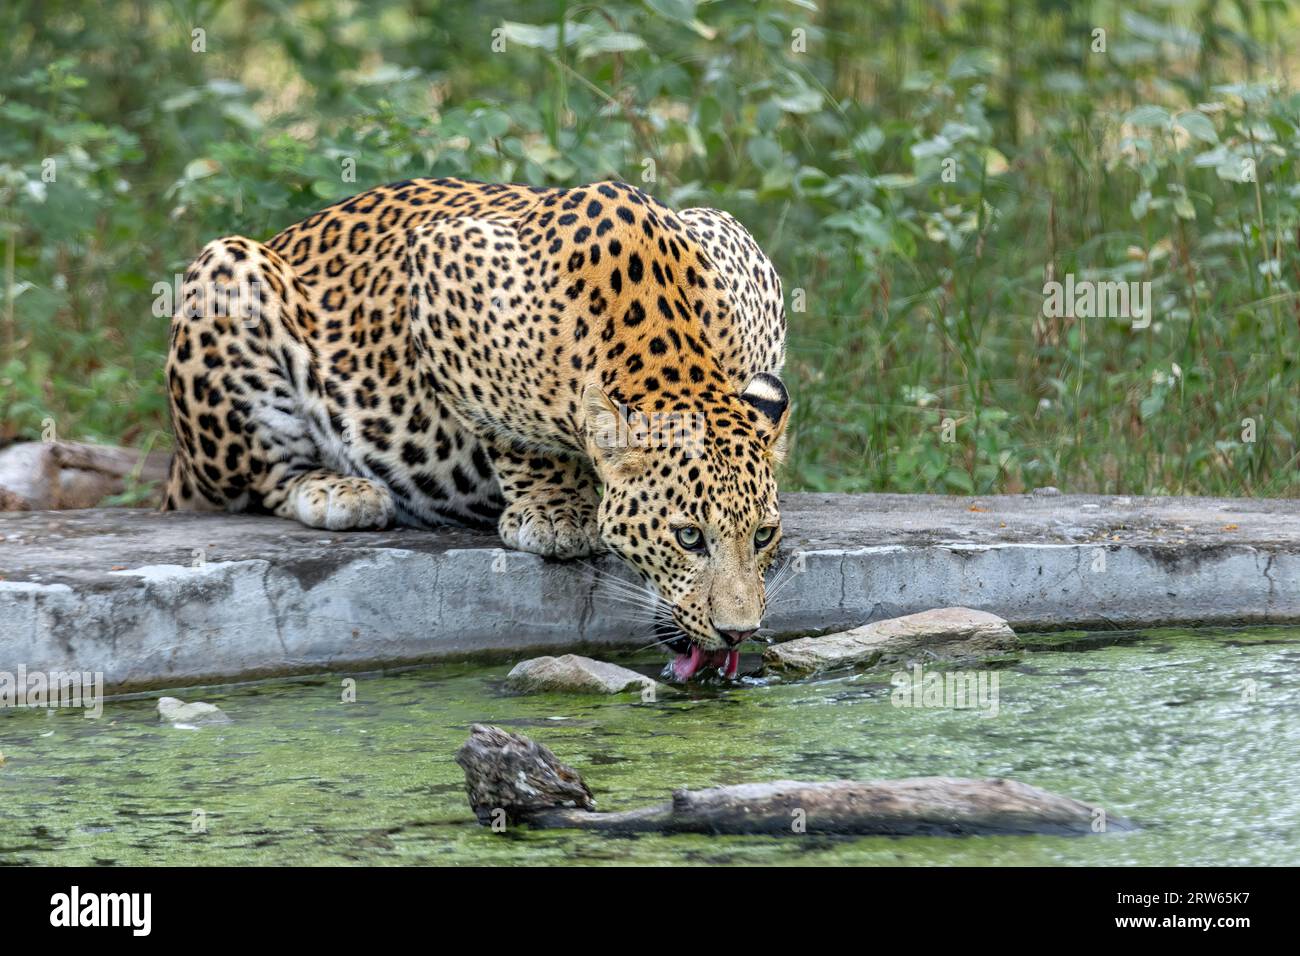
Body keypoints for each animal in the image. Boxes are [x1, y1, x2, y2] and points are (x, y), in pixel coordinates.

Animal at [163, 177, 789, 681]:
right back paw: (340, 491)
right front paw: (556, 511)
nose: (739, 632)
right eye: (688, 538)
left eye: (762, 536)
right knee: (265, 478)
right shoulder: (440, 265)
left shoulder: (744, 251)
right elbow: (507, 431)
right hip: (225, 274)